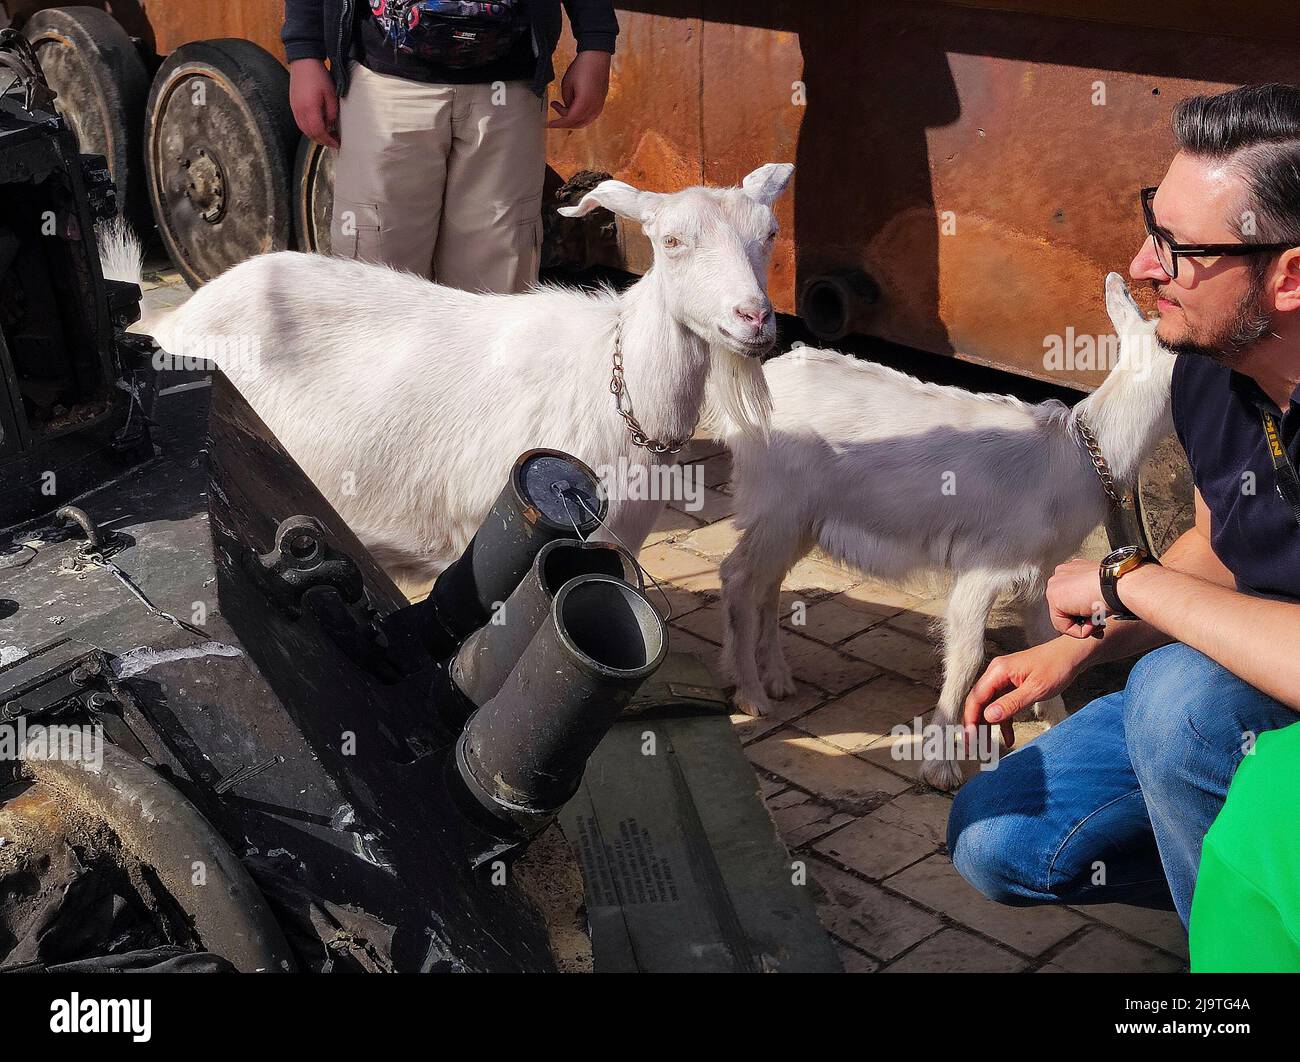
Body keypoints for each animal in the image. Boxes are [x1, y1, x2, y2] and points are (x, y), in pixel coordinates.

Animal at [718, 273, 1174, 790]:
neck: (1074, 459)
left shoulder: (1039, 574)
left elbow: (1046, 644)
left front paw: (1057, 724)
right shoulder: (985, 567)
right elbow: (968, 658)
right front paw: (941, 767)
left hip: (798, 519)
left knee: (765, 581)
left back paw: (774, 678)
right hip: (776, 506)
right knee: (738, 576)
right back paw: (751, 695)